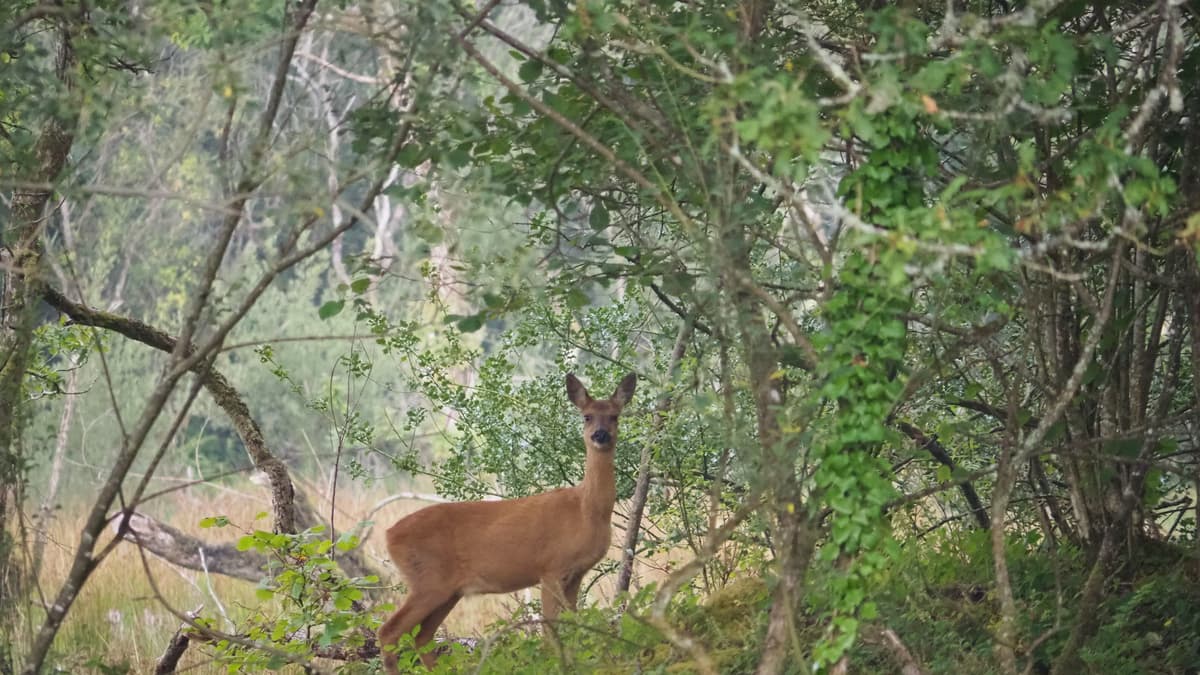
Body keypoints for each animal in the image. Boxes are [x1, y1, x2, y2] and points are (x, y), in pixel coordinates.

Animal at [378, 372, 637, 672]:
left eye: (615, 416)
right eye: (586, 416)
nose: (600, 435)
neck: (586, 510)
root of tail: (388, 534)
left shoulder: (576, 574)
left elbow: (573, 627)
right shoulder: (550, 568)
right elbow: (551, 632)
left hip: (446, 590)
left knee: (422, 637)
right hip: (427, 578)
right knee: (389, 632)